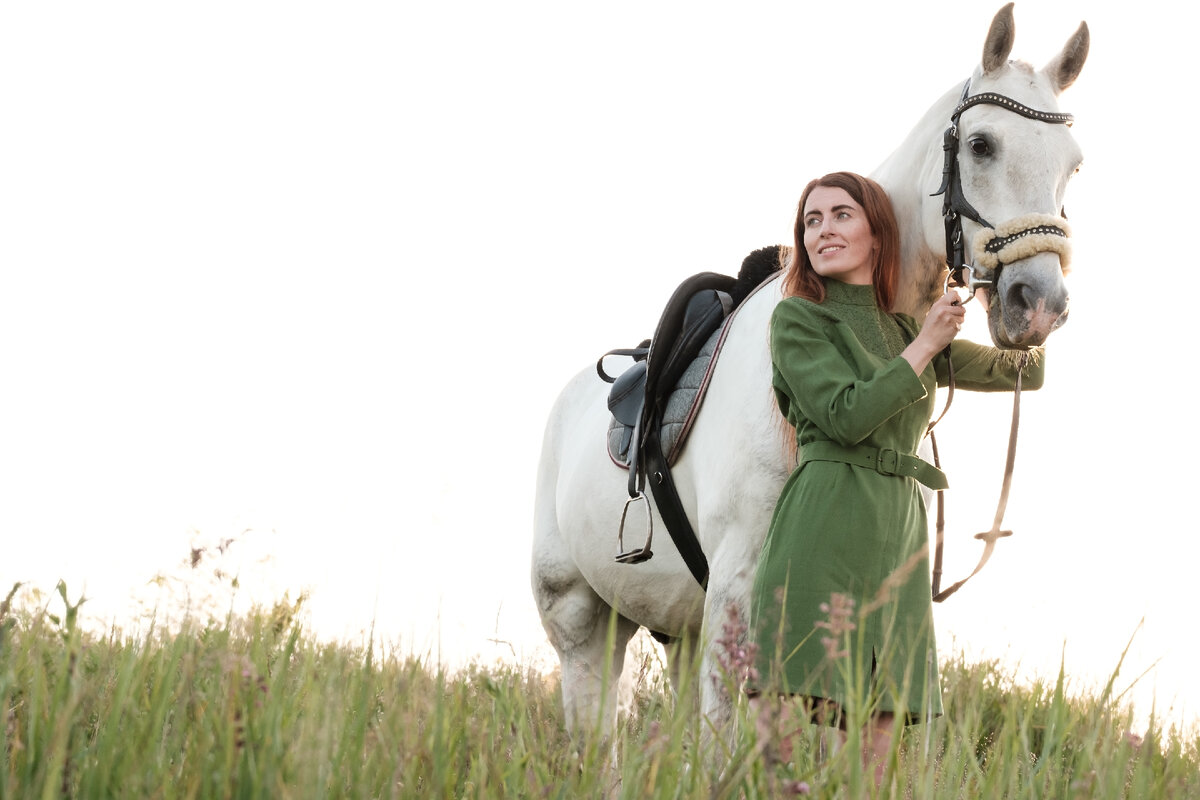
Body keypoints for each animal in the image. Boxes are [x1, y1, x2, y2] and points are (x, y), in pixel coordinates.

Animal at [532, 3, 1089, 743]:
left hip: (668, 624)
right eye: (981, 146)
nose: (1038, 303)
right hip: (581, 619)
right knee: (595, 729)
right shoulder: (738, 589)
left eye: (1073, 166)